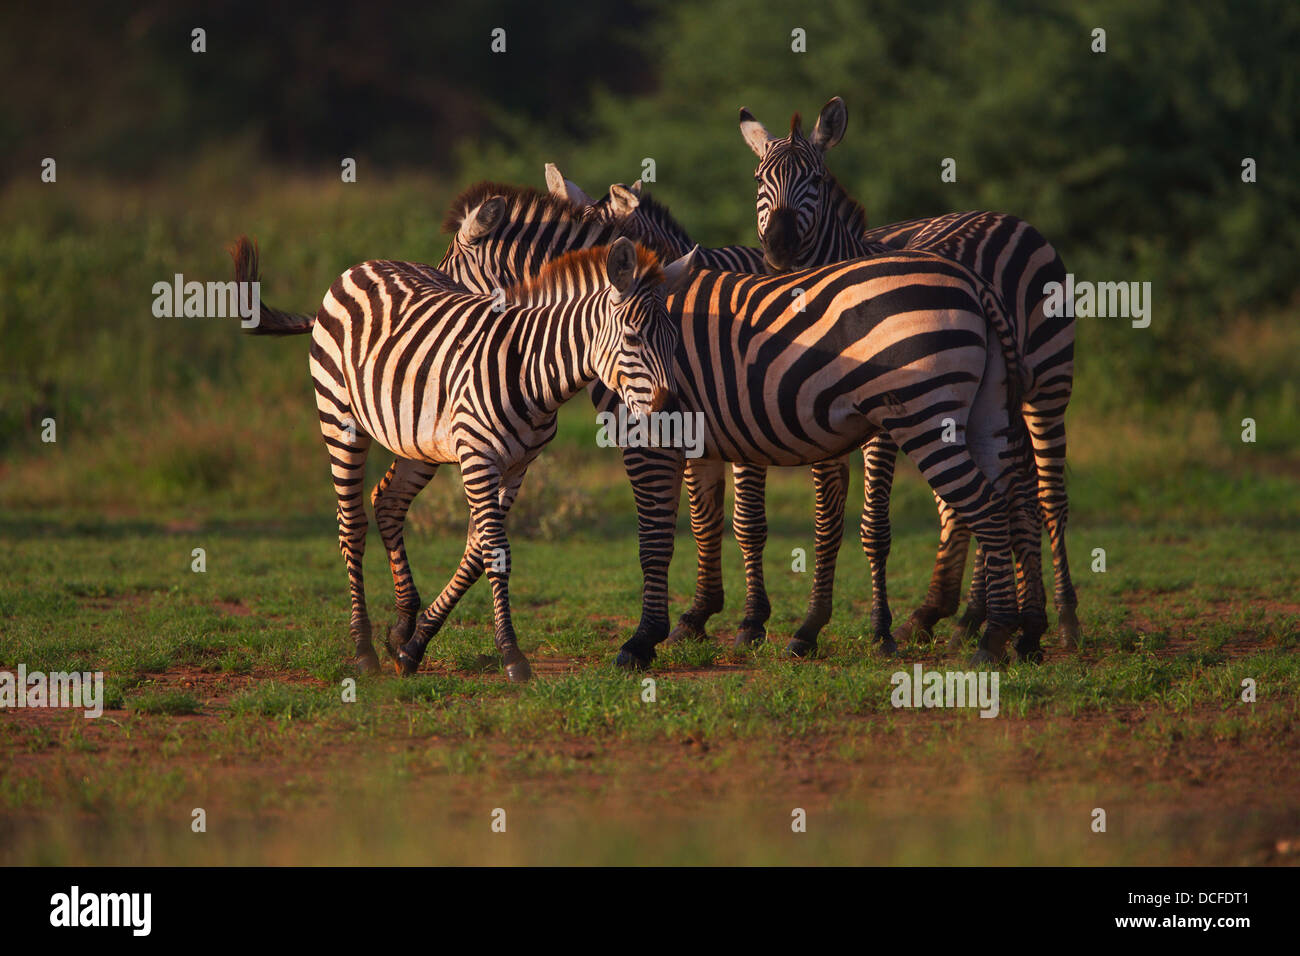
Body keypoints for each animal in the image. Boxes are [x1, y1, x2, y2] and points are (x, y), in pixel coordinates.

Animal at [231, 233, 690, 681]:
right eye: (632, 337)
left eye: (674, 340)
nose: (672, 412)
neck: (531, 370)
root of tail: (360, 267)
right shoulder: (478, 457)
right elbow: (495, 552)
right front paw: (512, 656)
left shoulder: (517, 466)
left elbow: (476, 553)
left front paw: (414, 645)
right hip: (338, 415)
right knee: (351, 525)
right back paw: (362, 649)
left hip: (418, 441)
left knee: (388, 502)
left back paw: (399, 626)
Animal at [434, 181, 1045, 668]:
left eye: (448, 265)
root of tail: (971, 281)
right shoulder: (690, 437)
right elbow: (699, 527)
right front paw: (689, 624)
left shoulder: (647, 435)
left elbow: (654, 540)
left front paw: (642, 641)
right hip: (982, 415)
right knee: (1015, 505)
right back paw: (1021, 634)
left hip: (927, 417)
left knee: (988, 509)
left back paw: (989, 640)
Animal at [740, 96, 1077, 657]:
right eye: (759, 179)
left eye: (815, 180)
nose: (779, 247)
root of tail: (1003, 215)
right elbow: (826, 521)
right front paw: (810, 627)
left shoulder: (883, 421)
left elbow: (873, 524)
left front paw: (879, 630)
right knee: (995, 498)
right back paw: (967, 618)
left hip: (1047, 388)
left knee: (1046, 496)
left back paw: (1060, 619)